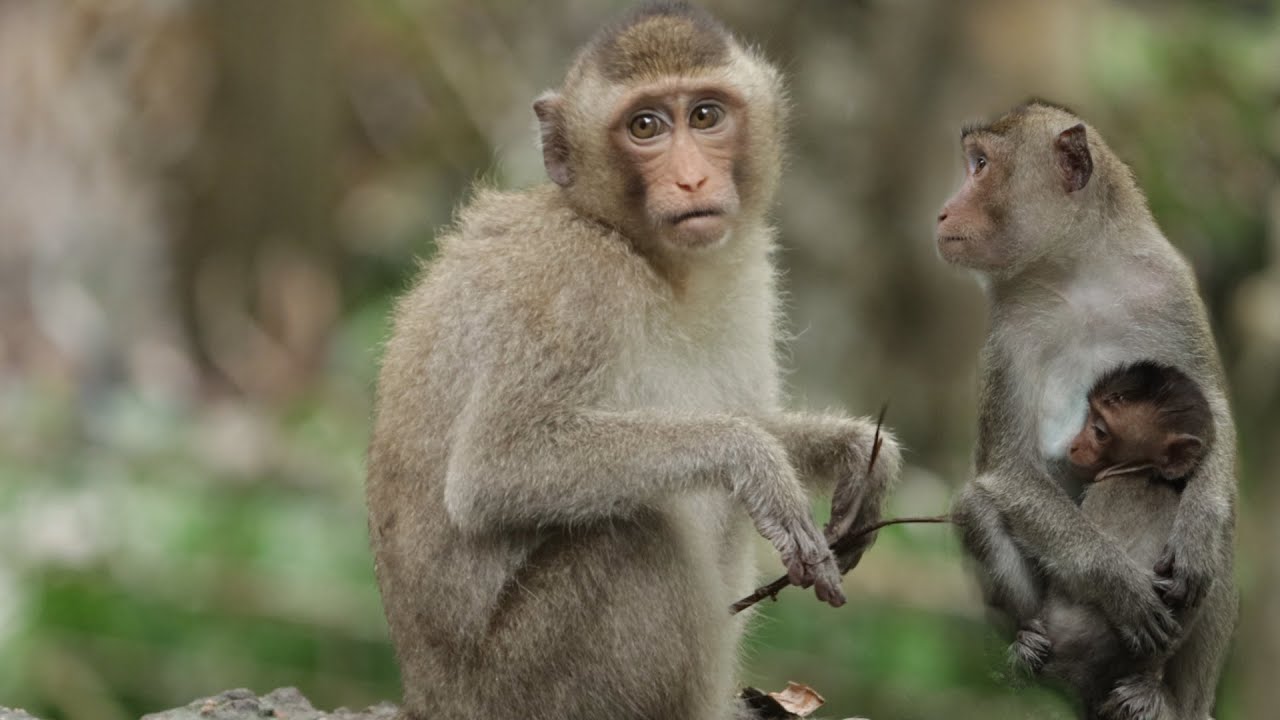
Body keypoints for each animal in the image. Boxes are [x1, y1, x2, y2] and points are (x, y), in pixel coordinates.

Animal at [365, 4, 901, 720]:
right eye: (645, 127)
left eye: (705, 115)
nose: (692, 179)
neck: (642, 254)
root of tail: (427, 698)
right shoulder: (573, 283)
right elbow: (496, 470)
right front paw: (754, 461)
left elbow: (748, 412)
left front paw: (856, 452)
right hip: (520, 686)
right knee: (632, 533)